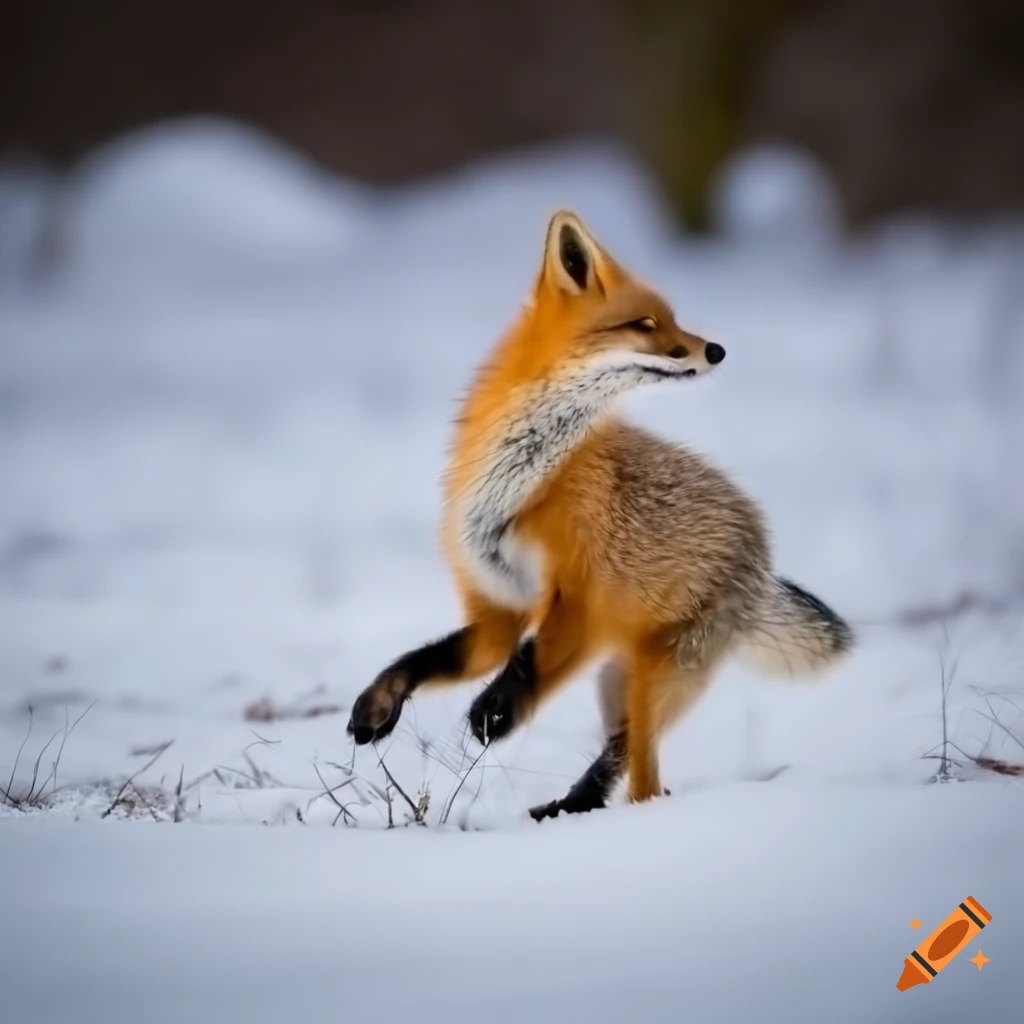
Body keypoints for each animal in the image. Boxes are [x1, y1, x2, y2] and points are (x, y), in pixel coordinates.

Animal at [347, 208, 853, 820]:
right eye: (645, 324)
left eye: (674, 321)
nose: (715, 350)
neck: (524, 474)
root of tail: (761, 557)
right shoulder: (500, 606)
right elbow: (425, 660)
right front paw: (378, 706)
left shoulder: (583, 600)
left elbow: (529, 666)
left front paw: (496, 713)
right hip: (618, 684)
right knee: (627, 766)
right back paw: (569, 807)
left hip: (651, 683)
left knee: (643, 780)